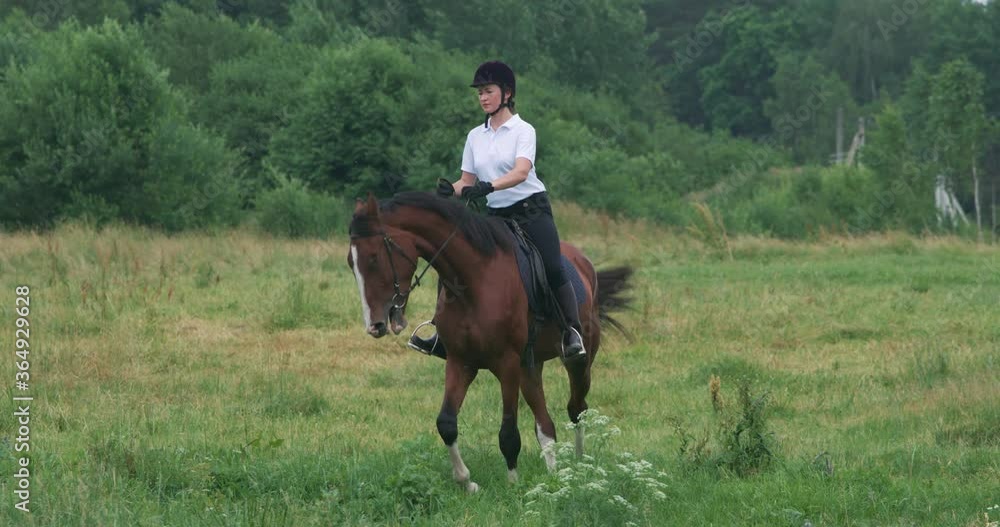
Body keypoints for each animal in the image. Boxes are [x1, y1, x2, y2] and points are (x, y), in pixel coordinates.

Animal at [347, 192, 632, 492]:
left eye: (374, 258)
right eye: (350, 263)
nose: (375, 325)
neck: (474, 281)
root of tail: (584, 263)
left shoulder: (507, 363)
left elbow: (508, 432)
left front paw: (513, 485)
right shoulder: (461, 362)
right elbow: (446, 423)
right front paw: (466, 481)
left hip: (578, 360)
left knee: (577, 408)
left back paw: (579, 467)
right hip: (530, 367)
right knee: (545, 423)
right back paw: (554, 475)